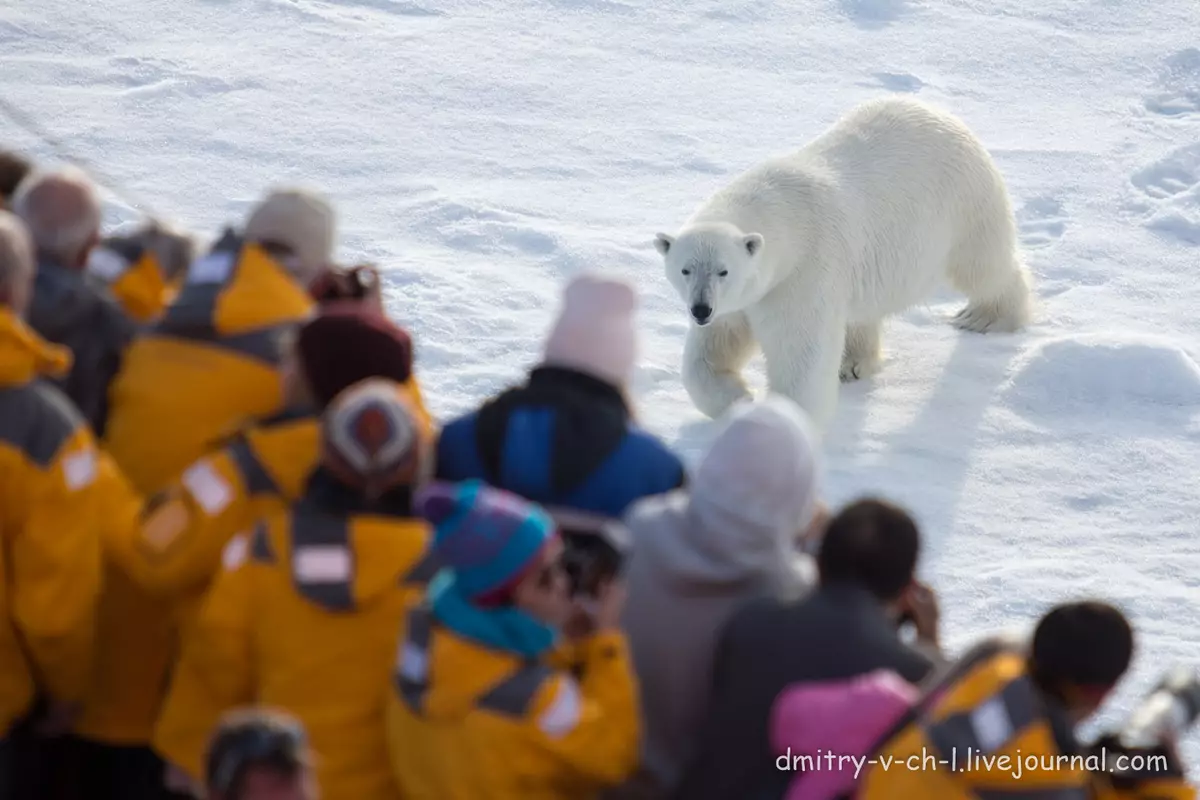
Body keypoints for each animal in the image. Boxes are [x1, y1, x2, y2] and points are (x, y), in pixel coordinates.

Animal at [657, 97, 1032, 429]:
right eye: (685, 269)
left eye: (724, 270)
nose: (700, 309)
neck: (782, 216)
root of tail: (946, 115)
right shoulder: (739, 302)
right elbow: (711, 351)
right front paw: (739, 398)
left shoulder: (801, 272)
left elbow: (801, 355)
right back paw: (852, 363)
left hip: (963, 203)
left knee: (982, 267)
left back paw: (985, 316)